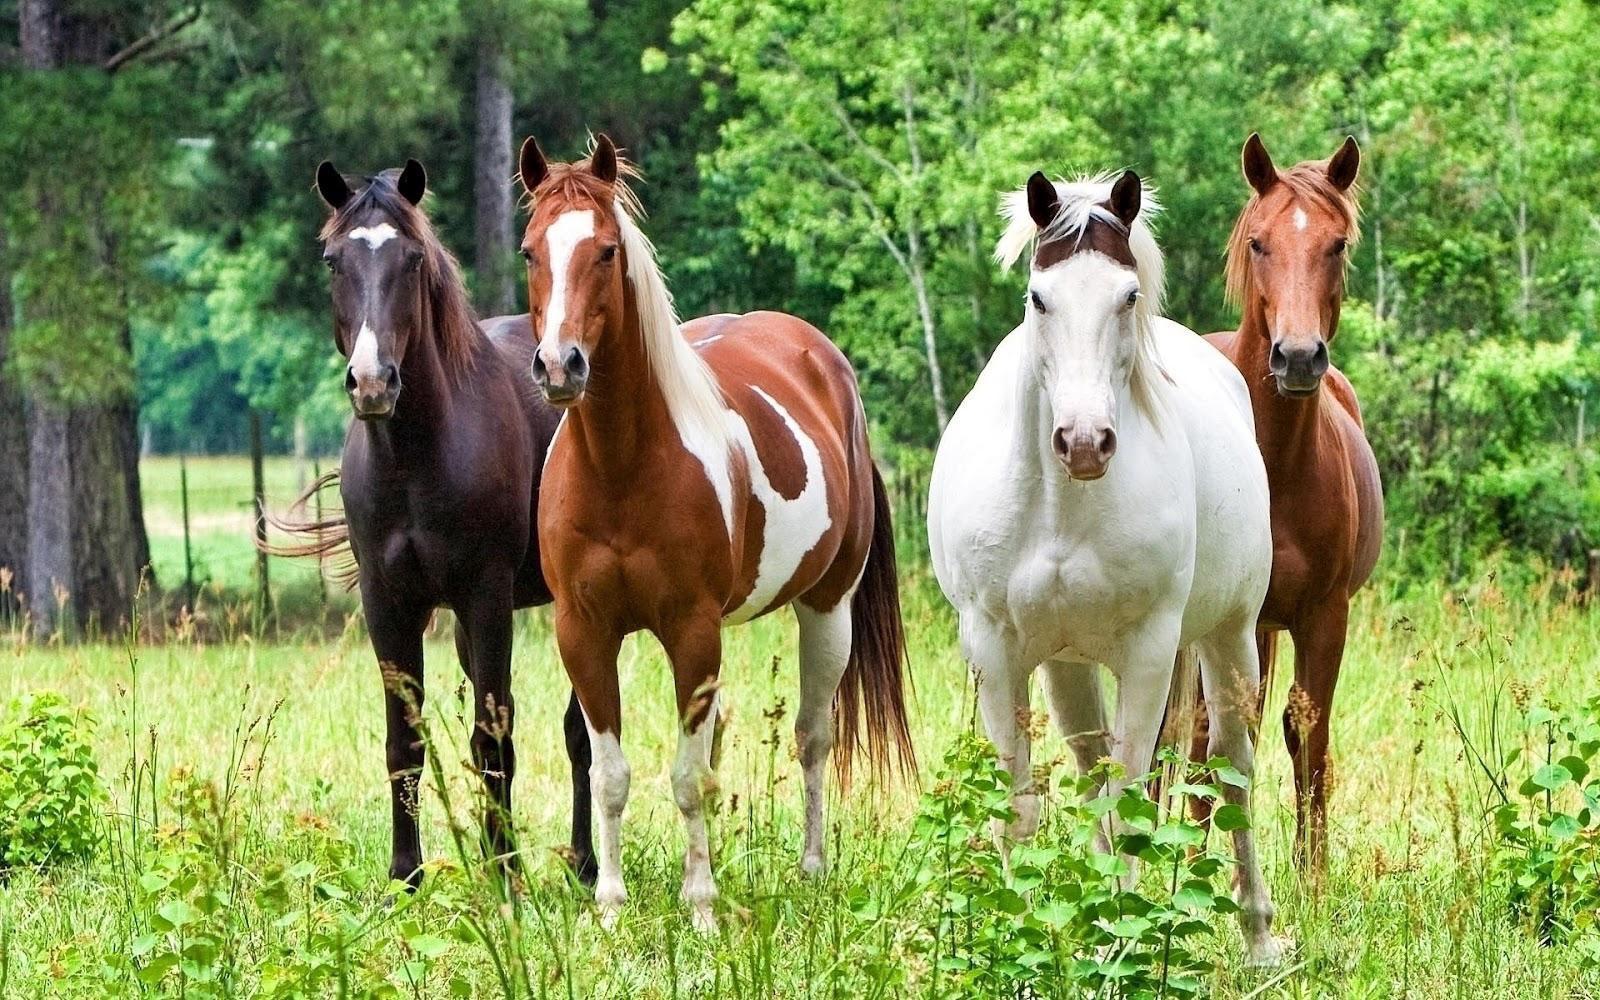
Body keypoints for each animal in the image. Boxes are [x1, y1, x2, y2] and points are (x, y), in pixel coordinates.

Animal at [273, 160, 594, 889]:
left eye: (413, 259)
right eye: (333, 261)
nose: (372, 382)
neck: (417, 457)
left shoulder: (487, 595)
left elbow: (493, 737)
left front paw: (505, 875)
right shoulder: (388, 603)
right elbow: (405, 740)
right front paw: (405, 875)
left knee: (579, 730)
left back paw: (585, 864)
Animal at [516, 135, 913, 931]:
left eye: (606, 250)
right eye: (530, 250)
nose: (558, 366)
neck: (621, 468)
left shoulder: (692, 631)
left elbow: (687, 777)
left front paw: (699, 907)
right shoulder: (583, 632)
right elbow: (612, 773)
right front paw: (609, 906)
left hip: (829, 608)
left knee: (812, 738)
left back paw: (812, 869)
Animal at [927, 169, 1288, 965]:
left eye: (1127, 295)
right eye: (1040, 297)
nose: (1085, 441)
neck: (1062, 509)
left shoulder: (1151, 652)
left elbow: (1131, 804)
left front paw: (1120, 944)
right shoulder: (993, 649)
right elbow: (1024, 807)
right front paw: (1023, 942)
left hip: (1229, 636)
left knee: (1234, 769)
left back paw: (1257, 936)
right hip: (1067, 665)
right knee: (1095, 774)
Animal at [1195, 134, 1383, 869]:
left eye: (1337, 243)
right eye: (1259, 243)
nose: (1298, 358)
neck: (1272, 465)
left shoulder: (1324, 617)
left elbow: (1309, 735)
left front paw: (1313, 875)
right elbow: (1207, 738)